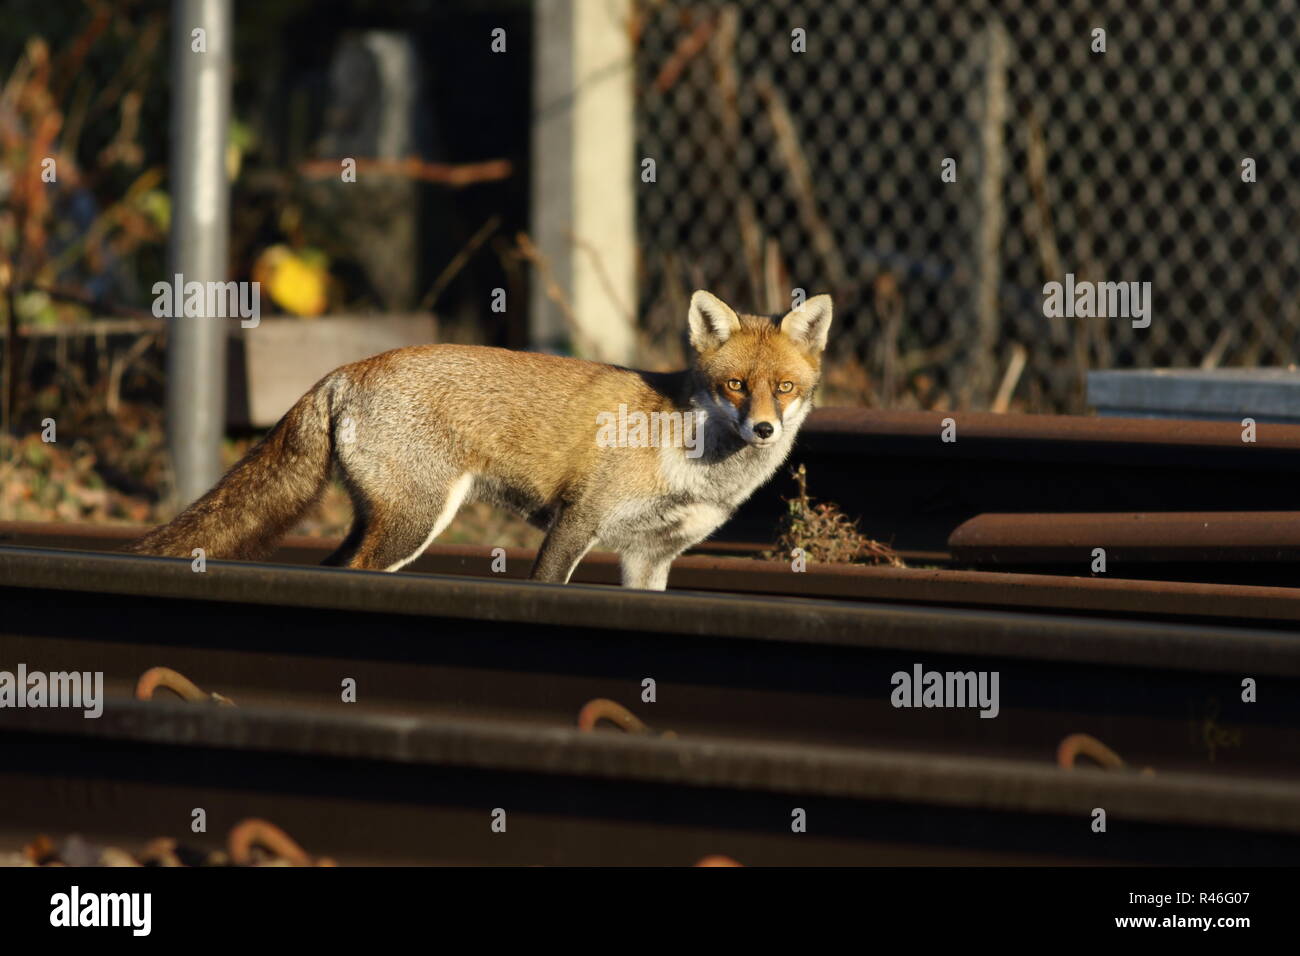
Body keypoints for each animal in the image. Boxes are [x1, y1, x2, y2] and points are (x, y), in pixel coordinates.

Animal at [126, 289, 833, 589]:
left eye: (784, 388)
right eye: (736, 385)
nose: (763, 428)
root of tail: (348, 368)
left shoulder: (649, 557)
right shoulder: (579, 519)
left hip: (388, 519)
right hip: (416, 521)